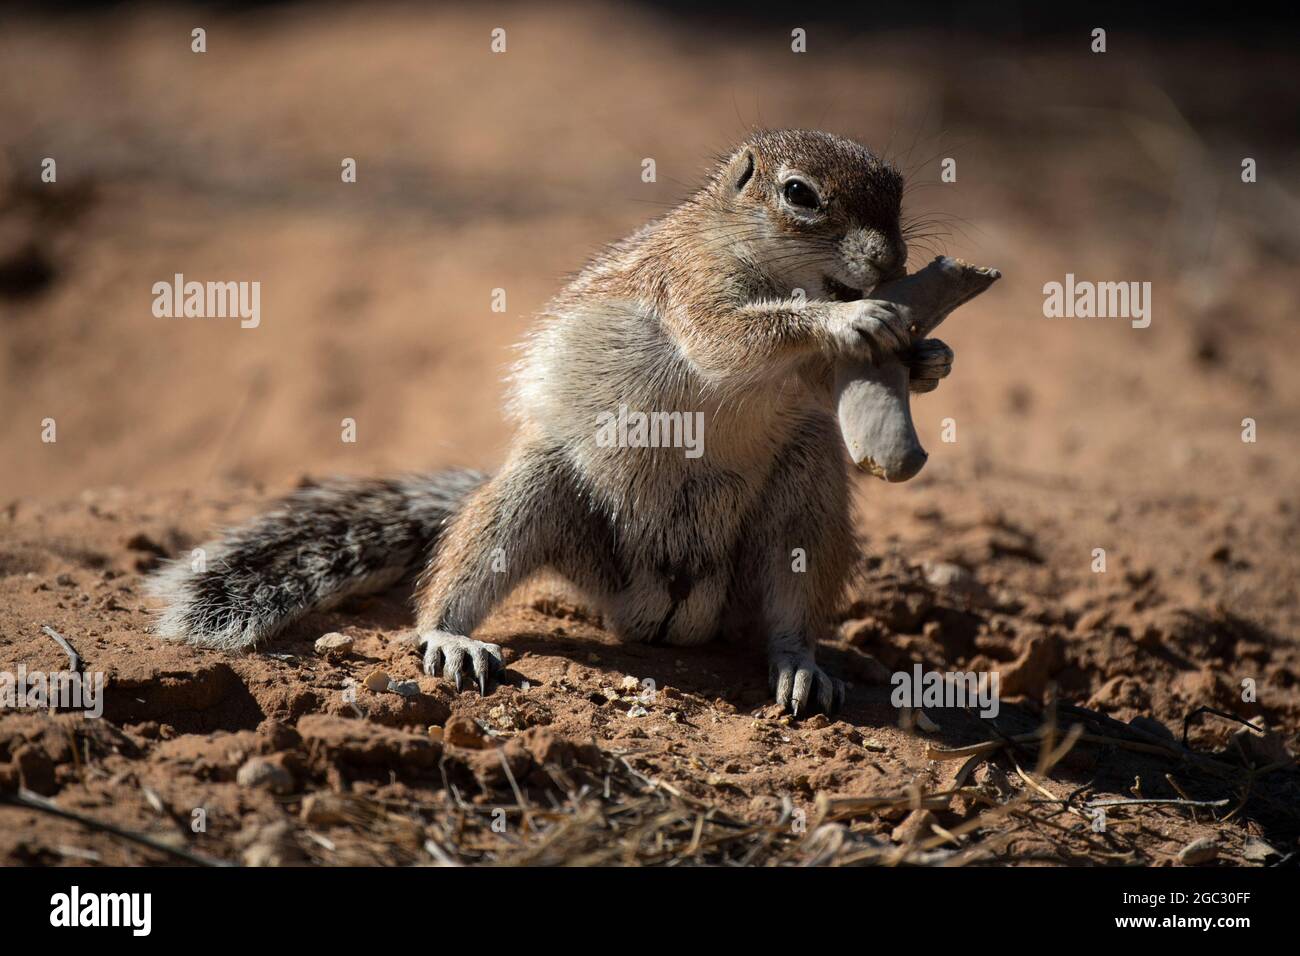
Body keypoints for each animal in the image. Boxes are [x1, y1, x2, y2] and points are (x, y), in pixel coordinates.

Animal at [149, 129, 955, 716]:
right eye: (800, 194)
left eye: (897, 189)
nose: (893, 262)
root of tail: (668, 608)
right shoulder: (693, 289)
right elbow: (734, 335)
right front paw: (853, 318)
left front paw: (928, 357)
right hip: (542, 494)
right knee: (463, 570)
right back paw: (451, 639)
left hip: (805, 492)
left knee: (789, 604)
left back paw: (799, 667)